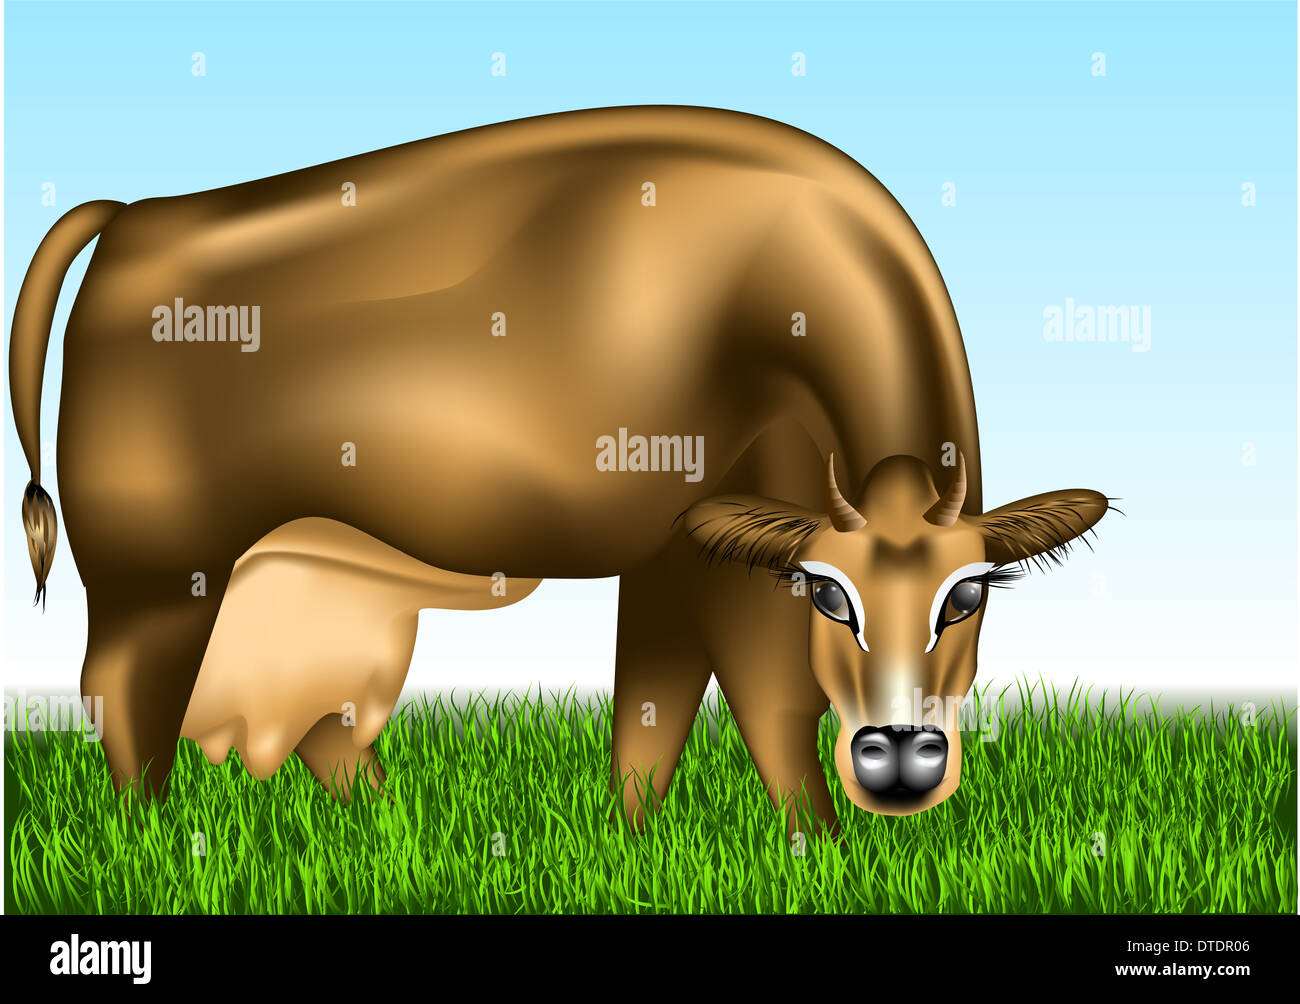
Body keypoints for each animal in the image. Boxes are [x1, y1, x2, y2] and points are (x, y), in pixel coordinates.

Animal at [9, 105, 1109, 831]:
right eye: (828, 594)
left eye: (970, 592)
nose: (901, 763)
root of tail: (134, 217)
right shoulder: (720, 552)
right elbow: (762, 699)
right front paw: (816, 847)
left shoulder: (684, 554)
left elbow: (661, 717)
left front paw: (646, 847)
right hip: (155, 576)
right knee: (126, 701)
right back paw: (154, 839)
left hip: (304, 576)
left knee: (322, 728)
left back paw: (391, 834)